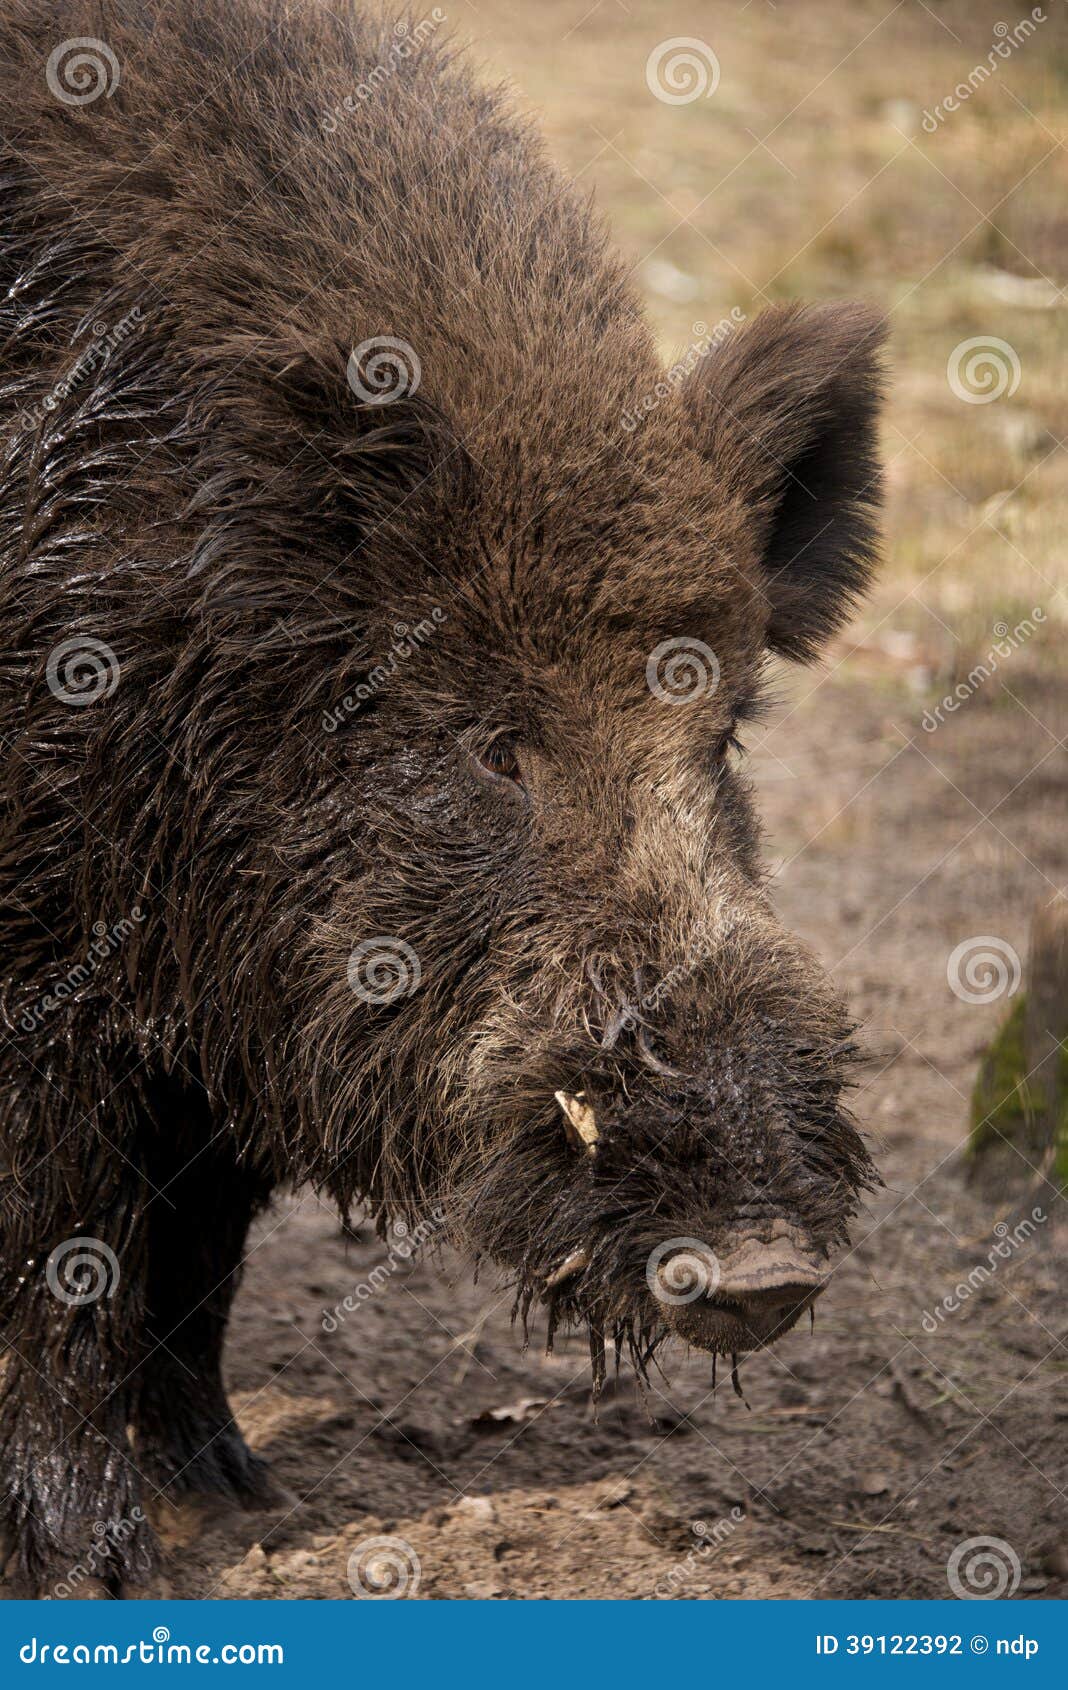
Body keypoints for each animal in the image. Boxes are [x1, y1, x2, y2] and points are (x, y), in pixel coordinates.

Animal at [0, 0, 883, 1594]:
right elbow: (63, 1253)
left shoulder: (234, 1006)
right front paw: (101, 1572)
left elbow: (197, 1248)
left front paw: (237, 1496)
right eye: (495, 748)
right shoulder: (47, 984)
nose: (768, 1263)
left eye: (723, 732)